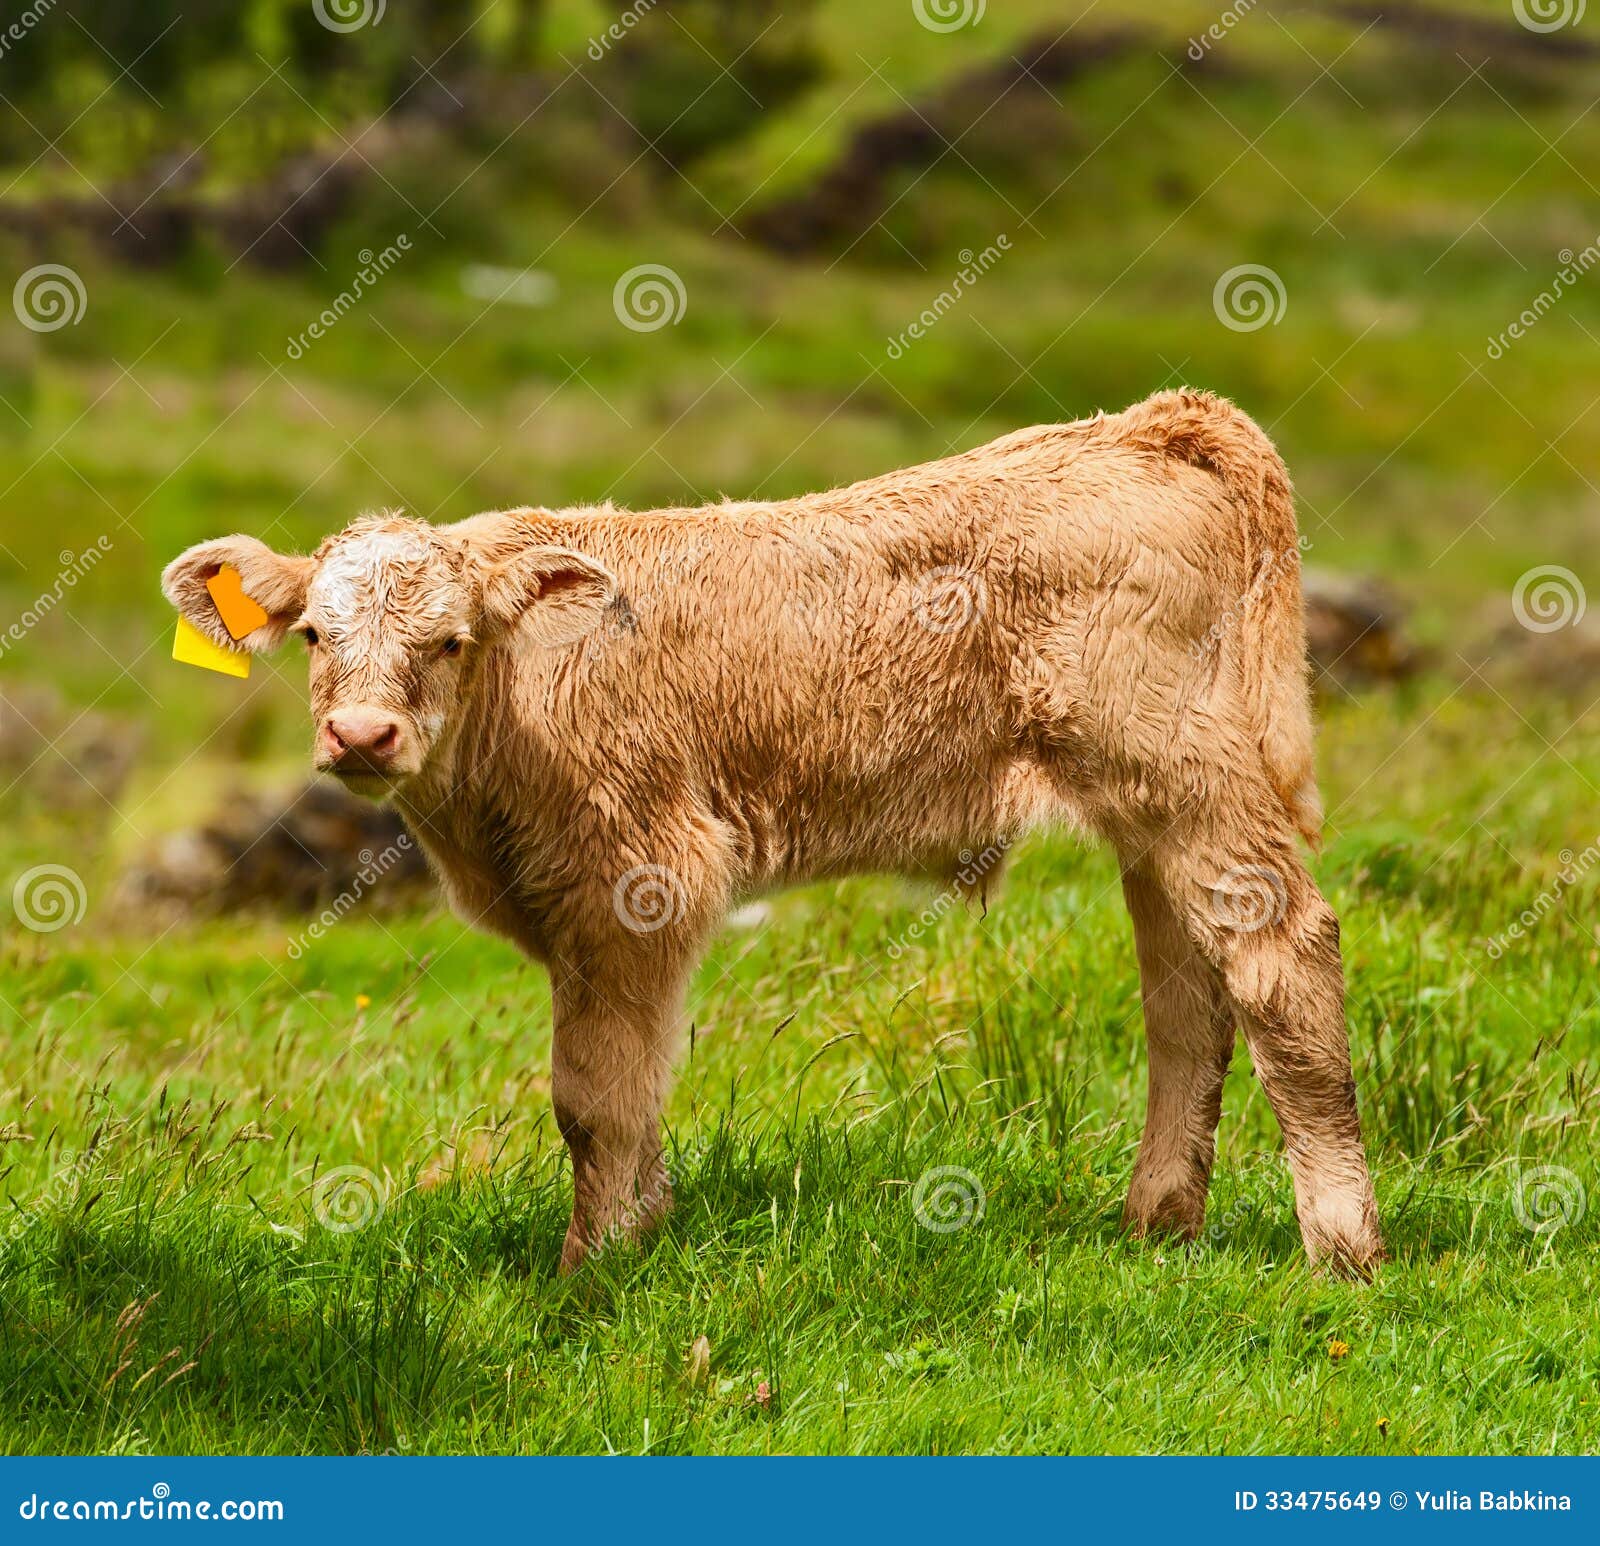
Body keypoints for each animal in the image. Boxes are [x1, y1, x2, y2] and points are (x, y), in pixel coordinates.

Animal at [163, 389, 1384, 1275]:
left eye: (451, 641)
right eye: (313, 633)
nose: (362, 734)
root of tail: (1142, 423)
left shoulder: (639, 876)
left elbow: (592, 1098)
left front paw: (590, 1273)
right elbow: (639, 1079)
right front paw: (645, 1230)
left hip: (1182, 772)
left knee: (1281, 957)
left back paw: (1341, 1250)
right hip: (1148, 806)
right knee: (1185, 992)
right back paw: (1157, 1220)